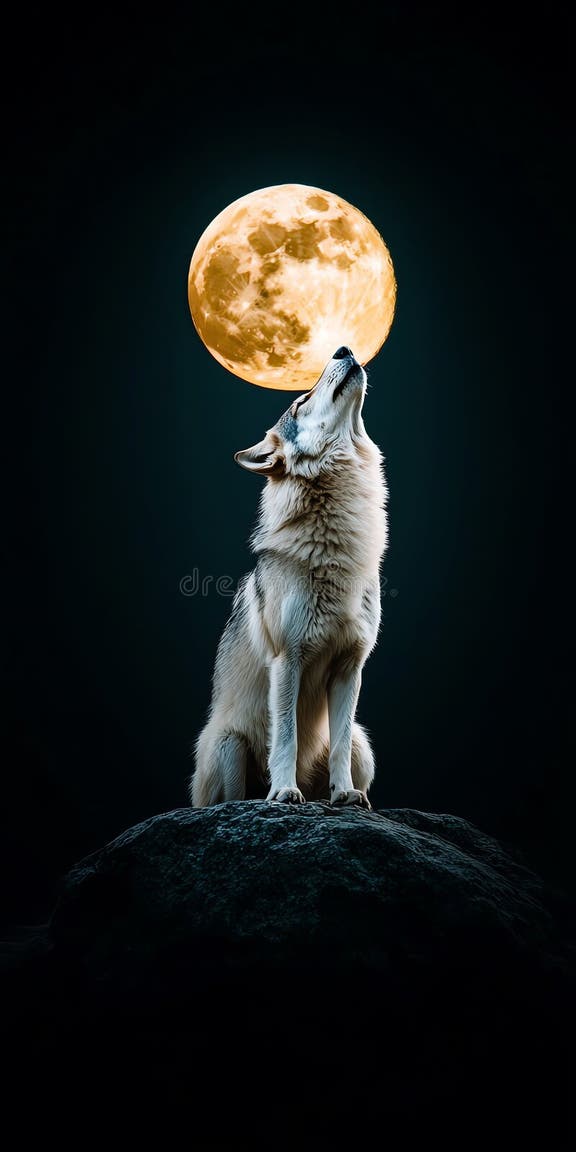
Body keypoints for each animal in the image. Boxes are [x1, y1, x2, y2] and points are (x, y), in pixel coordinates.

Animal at [191, 346, 387, 808]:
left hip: (364, 746)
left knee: (347, 745)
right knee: (232, 798)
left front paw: (344, 794)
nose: (343, 349)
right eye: (299, 402)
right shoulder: (288, 660)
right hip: (228, 744)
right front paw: (283, 790)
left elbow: (335, 745)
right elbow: (286, 737)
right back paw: (260, 798)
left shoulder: (350, 667)